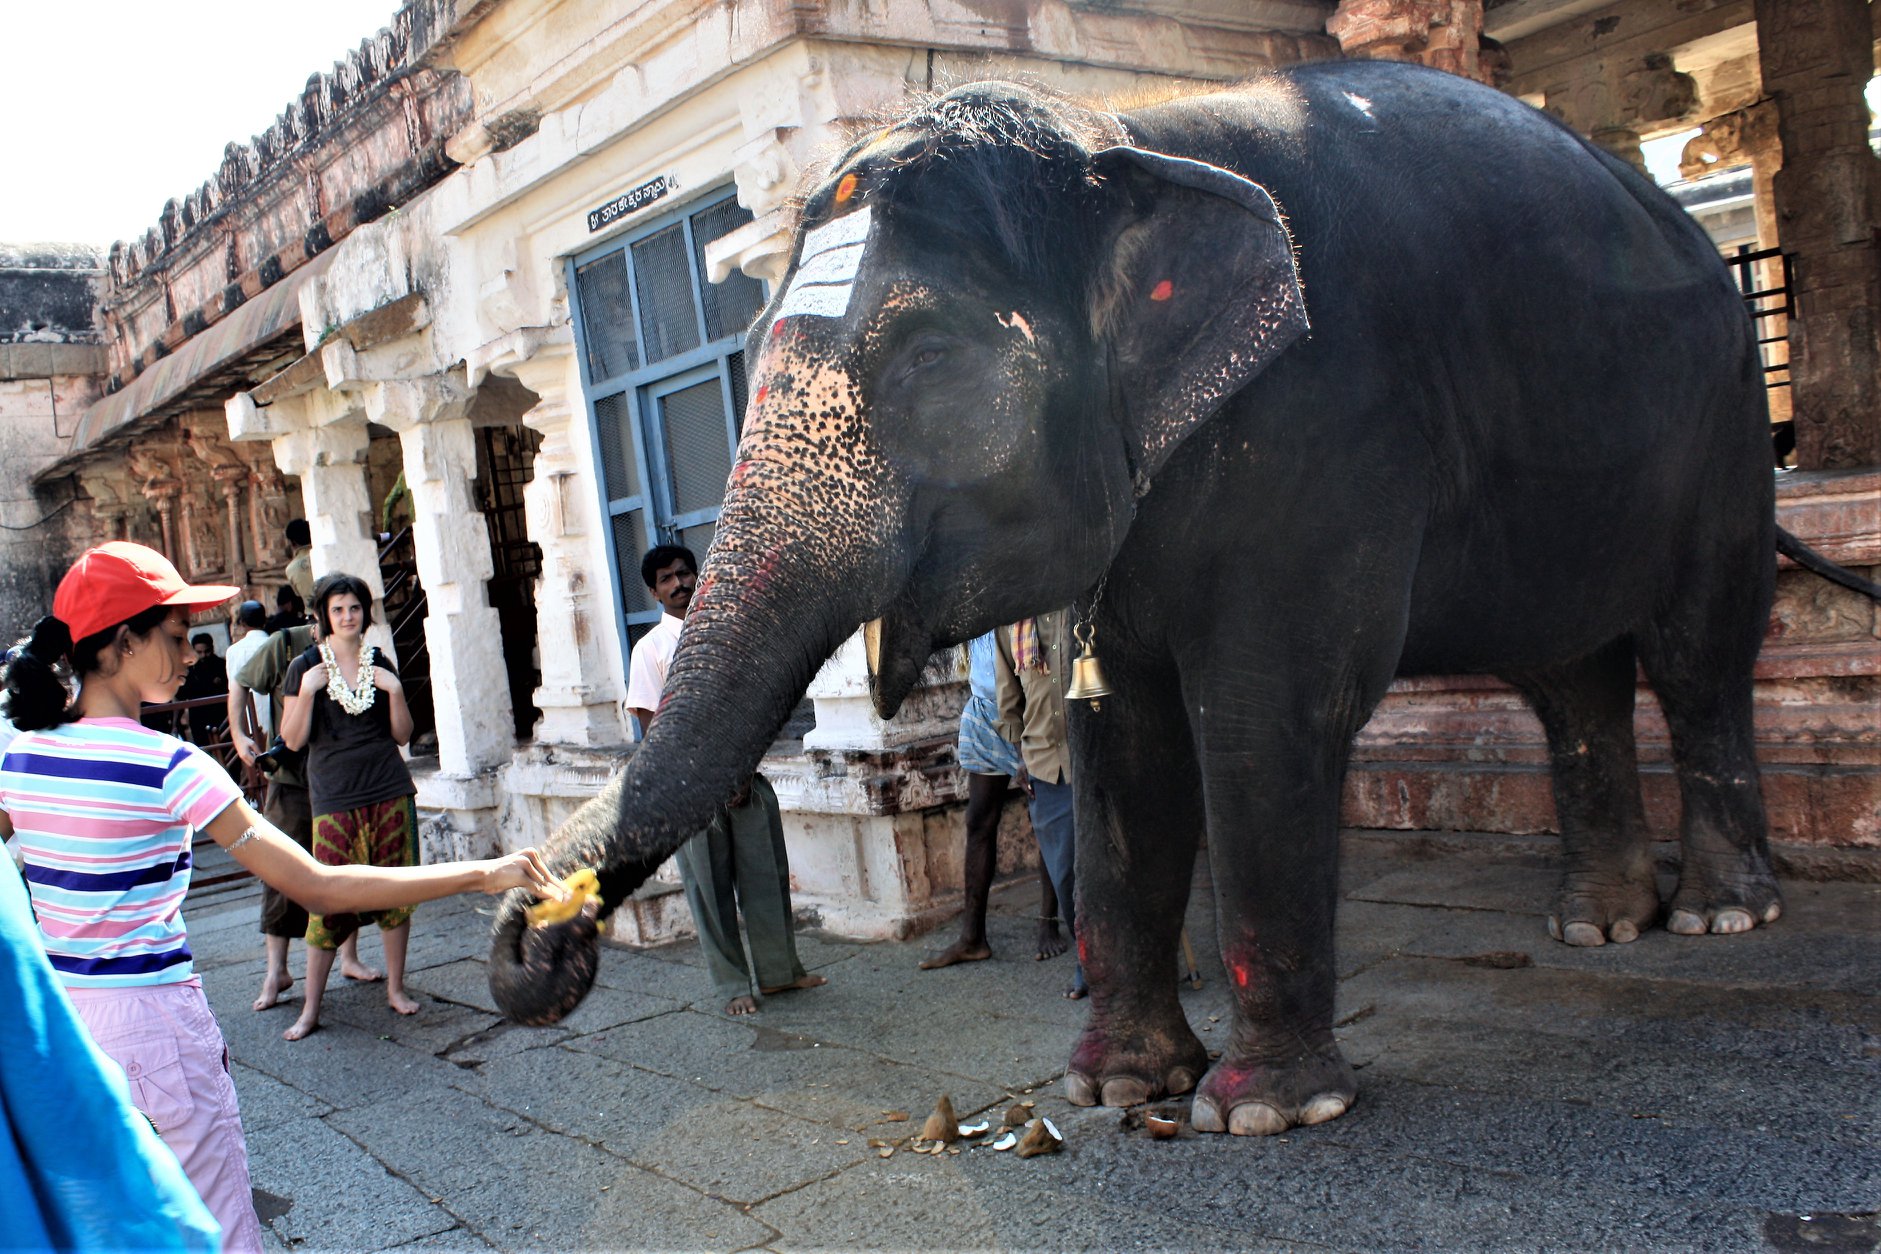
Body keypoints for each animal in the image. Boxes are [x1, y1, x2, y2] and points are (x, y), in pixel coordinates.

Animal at [492, 62, 1832, 1136]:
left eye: (928, 357)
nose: (538, 952)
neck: (1123, 135)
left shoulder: (1332, 421)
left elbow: (1260, 719)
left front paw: (1266, 1115)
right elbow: (1118, 736)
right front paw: (1118, 1092)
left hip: (1722, 422)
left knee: (1696, 654)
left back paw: (1718, 921)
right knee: (1570, 674)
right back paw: (1599, 928)